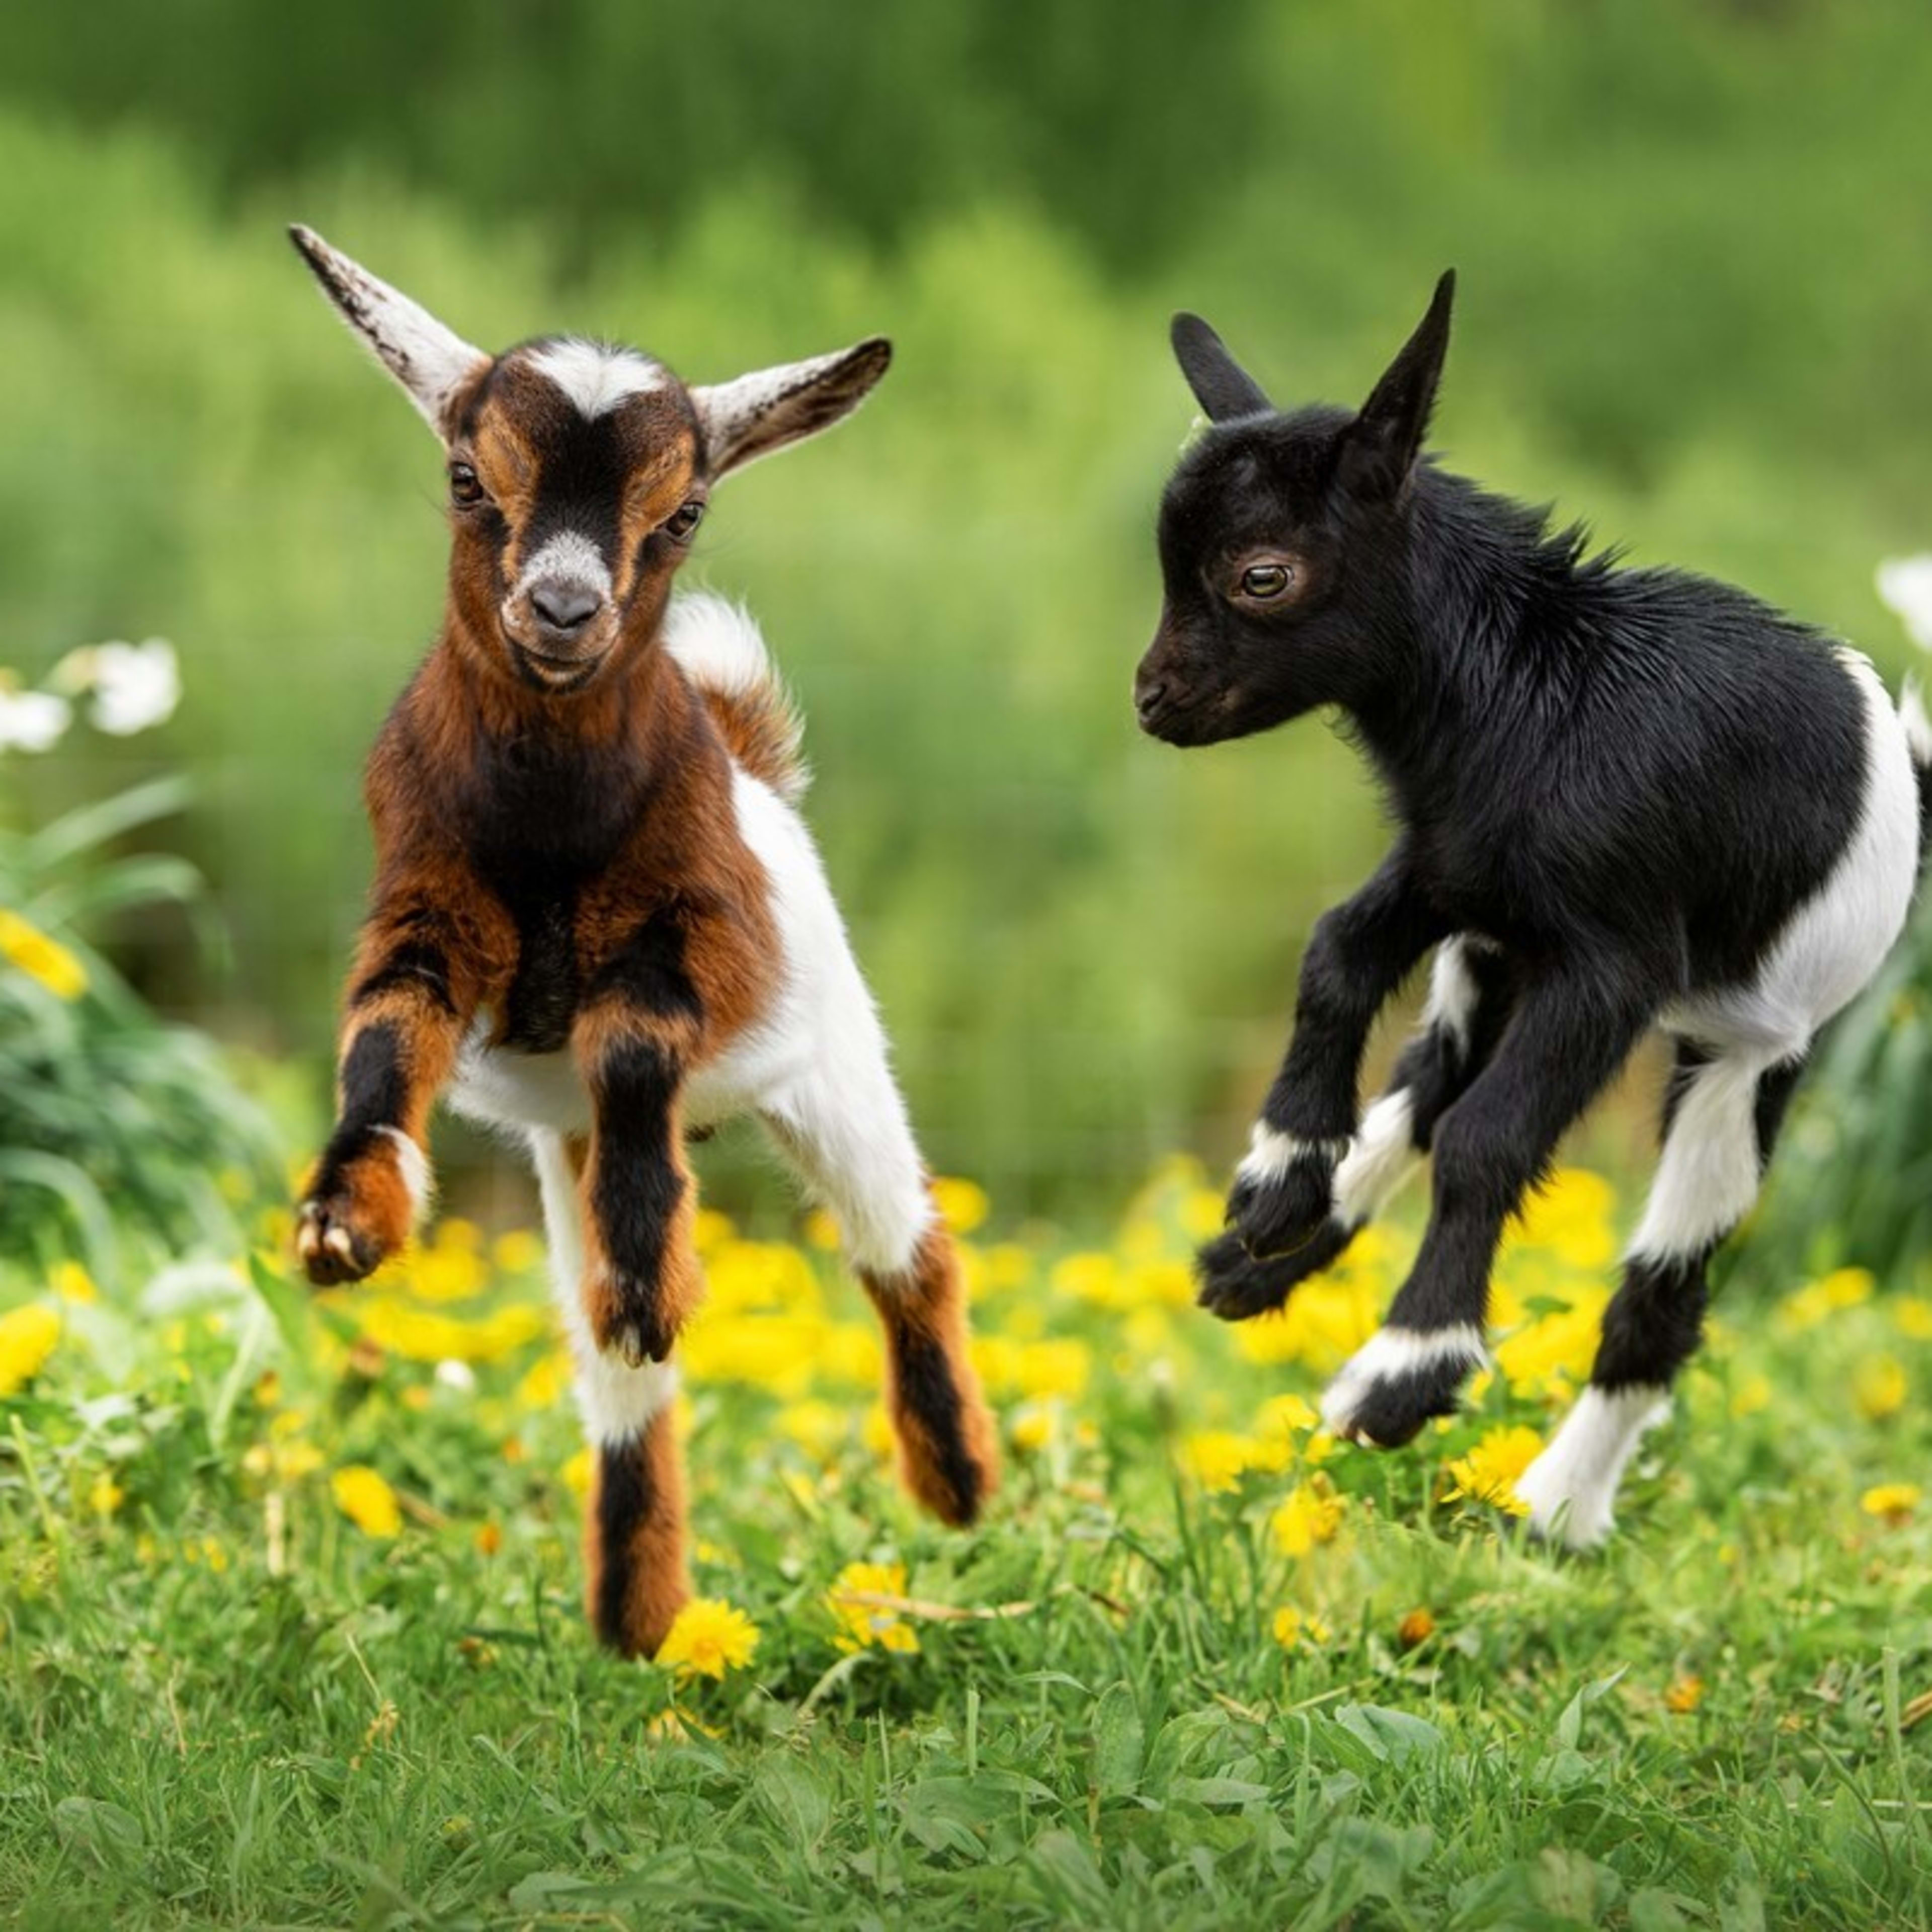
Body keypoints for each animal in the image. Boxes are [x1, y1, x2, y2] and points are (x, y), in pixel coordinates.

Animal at [287, 228, 997, 1655]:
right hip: (558, 1154)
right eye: (467, 478)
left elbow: (630, 1037)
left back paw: (953, 1483)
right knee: (619, 1388)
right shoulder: (429, 909)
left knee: (908, 1248)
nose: (563, 610)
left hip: (837, 1071)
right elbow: (382, 1038)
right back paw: (641, 1616)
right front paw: (346, 1221)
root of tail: (751, 758)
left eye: (684, 514)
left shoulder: (701, 938)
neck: (555, 823)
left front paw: (656, 1284)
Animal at [1135, 272, 1931, 1546]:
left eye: (1261, 574)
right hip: (1490, 964)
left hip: (1745, 1049)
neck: (1537, 691)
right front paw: (1274, 1178)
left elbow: (1490, 1140)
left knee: (1657, 1291)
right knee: (1419, 1096)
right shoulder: (1450, 872)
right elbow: (1332, 953)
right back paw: (1256, 1261)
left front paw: (1401, 1380)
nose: (1153, 699)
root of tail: (1906, 765)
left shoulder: (1612, 964)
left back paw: (1555, 1509)